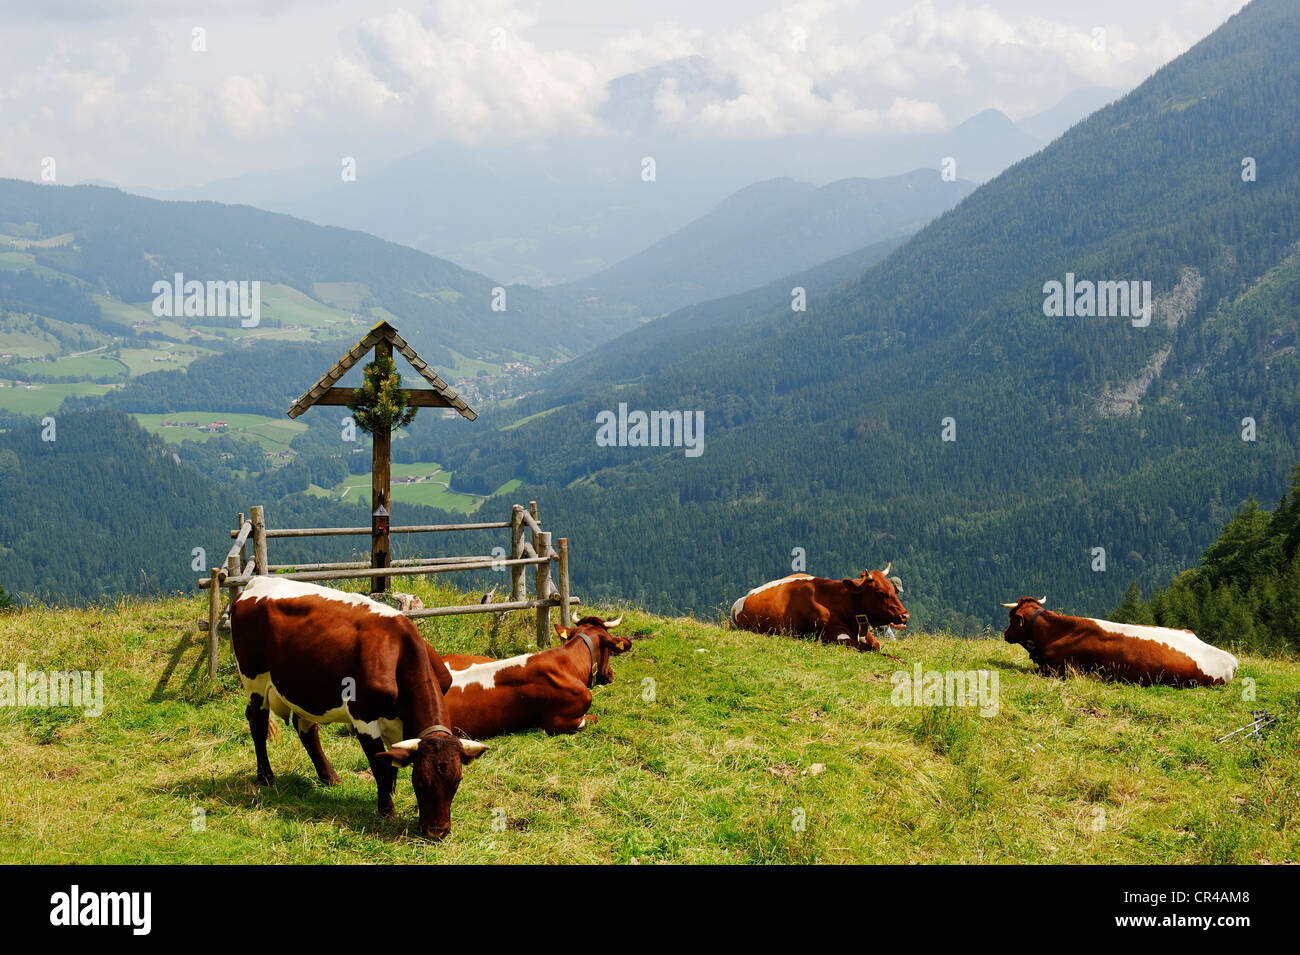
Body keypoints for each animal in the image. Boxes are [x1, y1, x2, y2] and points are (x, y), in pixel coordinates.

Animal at [230, 576, 487, 840]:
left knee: (306, 729)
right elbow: (380, 765)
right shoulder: (364, 718)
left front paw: (394, 795)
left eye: (456, 781)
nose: (437, 831)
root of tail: (259, 581)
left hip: (306, 691)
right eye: (421, 781)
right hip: (254, 681)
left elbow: (393, 761)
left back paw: (329, 777)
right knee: (258, 723)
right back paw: (266, 777)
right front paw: (387, 810)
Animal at [730, 564, 909, 651]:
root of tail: (743, 598)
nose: (905, 615)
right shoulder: (832, 637)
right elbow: (868, 647)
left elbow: (875, 645)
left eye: (893, 590)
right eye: (881, 593)